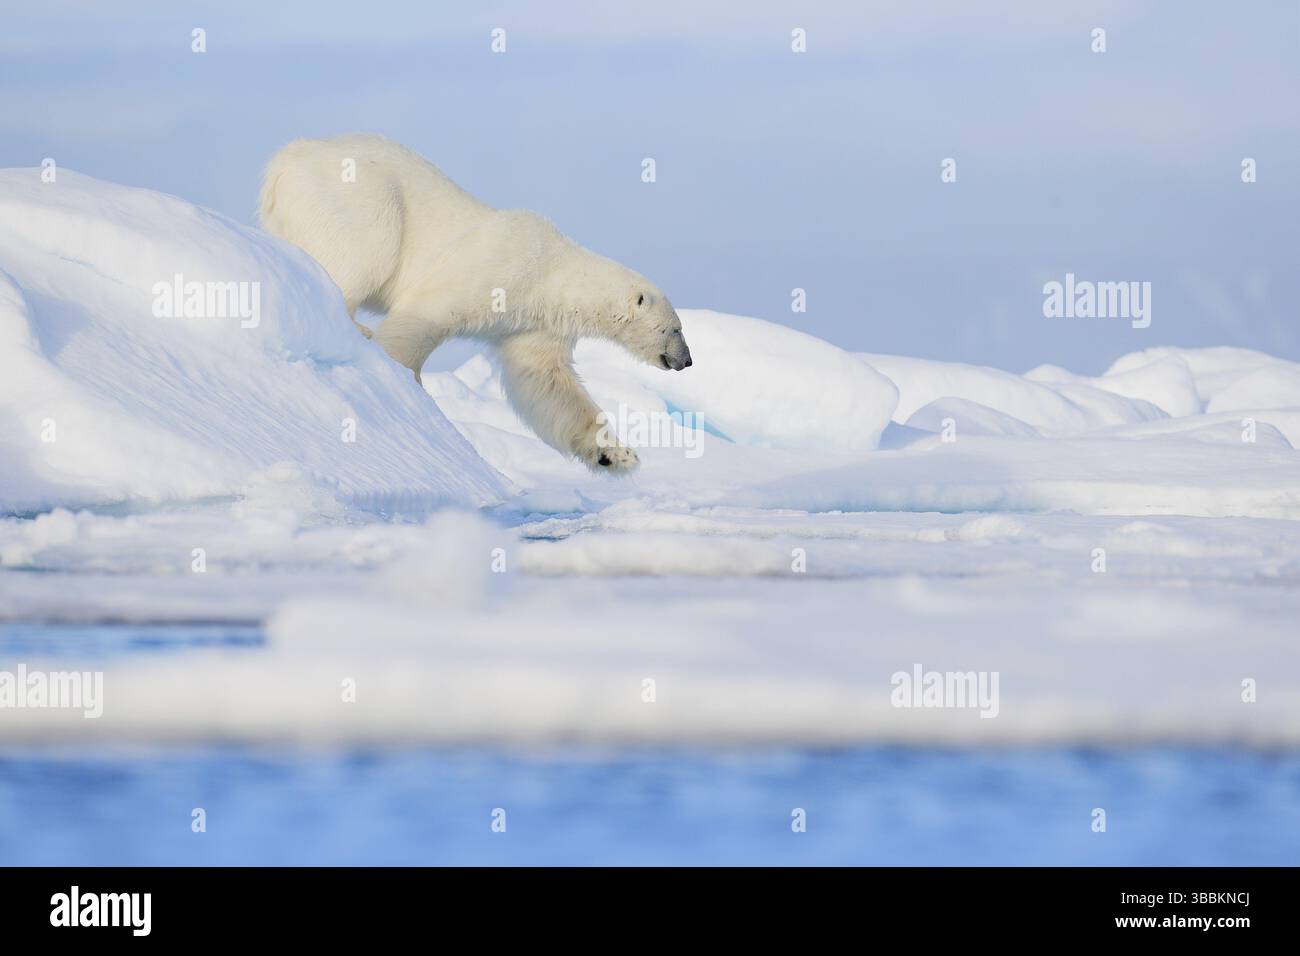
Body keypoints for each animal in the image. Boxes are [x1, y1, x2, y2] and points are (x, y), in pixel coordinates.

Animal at [258, 134, 691, 473]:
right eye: (674, 328)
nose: (686, 360)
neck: (552, 273)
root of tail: (286, 159)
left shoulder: (534, 326)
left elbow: (546, 386)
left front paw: (617, 455)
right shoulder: (500, 267)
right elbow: (426, 313)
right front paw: (406, 382)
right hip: (358, 198)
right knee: (359, 255)